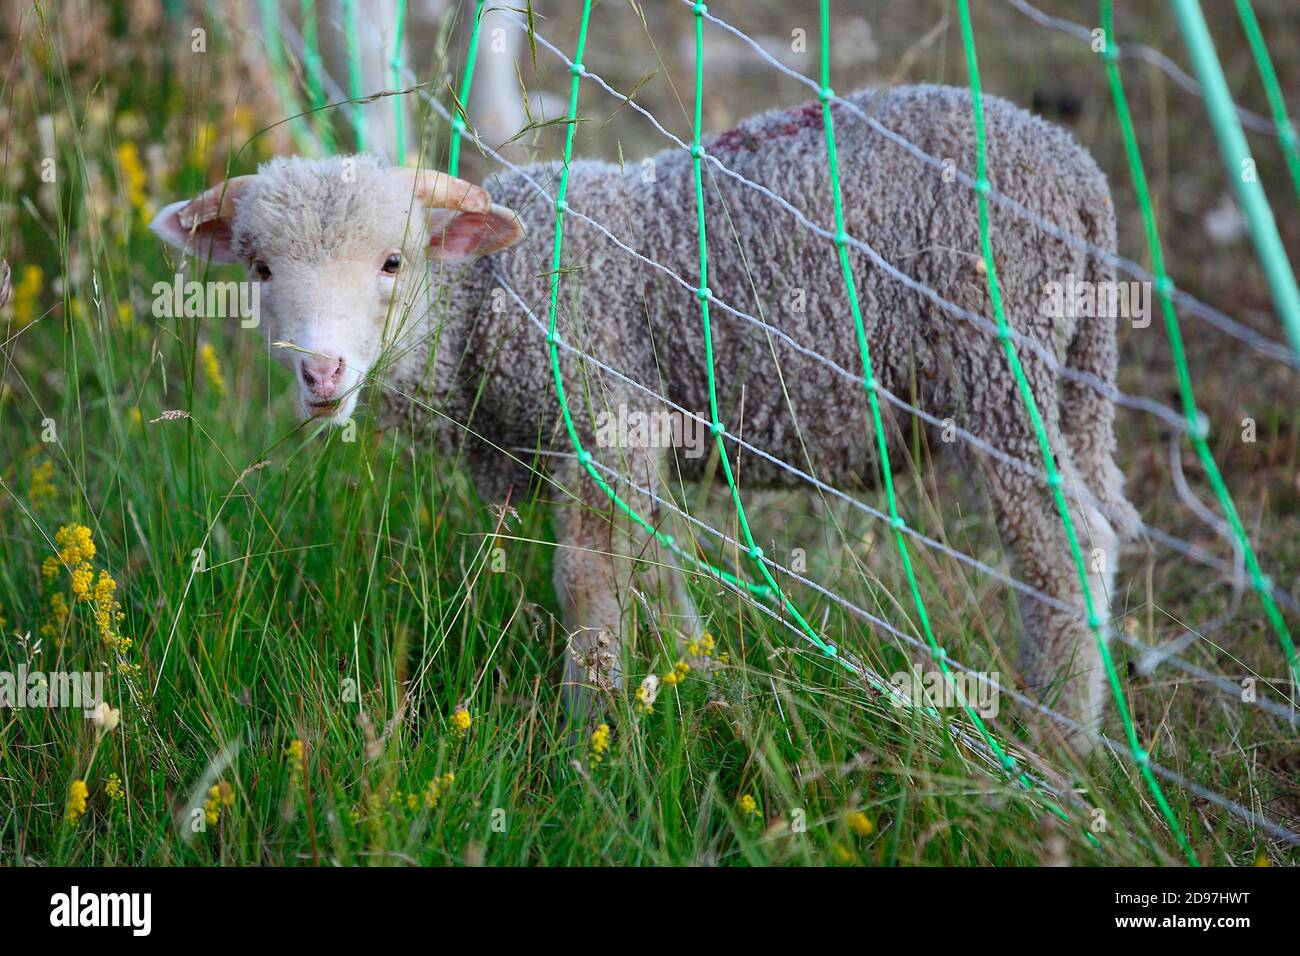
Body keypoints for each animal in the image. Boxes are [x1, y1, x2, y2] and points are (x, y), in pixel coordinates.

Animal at [151, 84, 1139, 751]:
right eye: (259, 269)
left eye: (394, 262)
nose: (322, 372)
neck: (487, 304)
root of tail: (1079, 175)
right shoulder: (638, 435)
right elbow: (659, 572)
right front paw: (705, 683)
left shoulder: (601, 413)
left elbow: (589, 585)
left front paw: (592, 734)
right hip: (1067, 377)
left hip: (997, 362)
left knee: (1067, 551)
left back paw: (1058, 754)